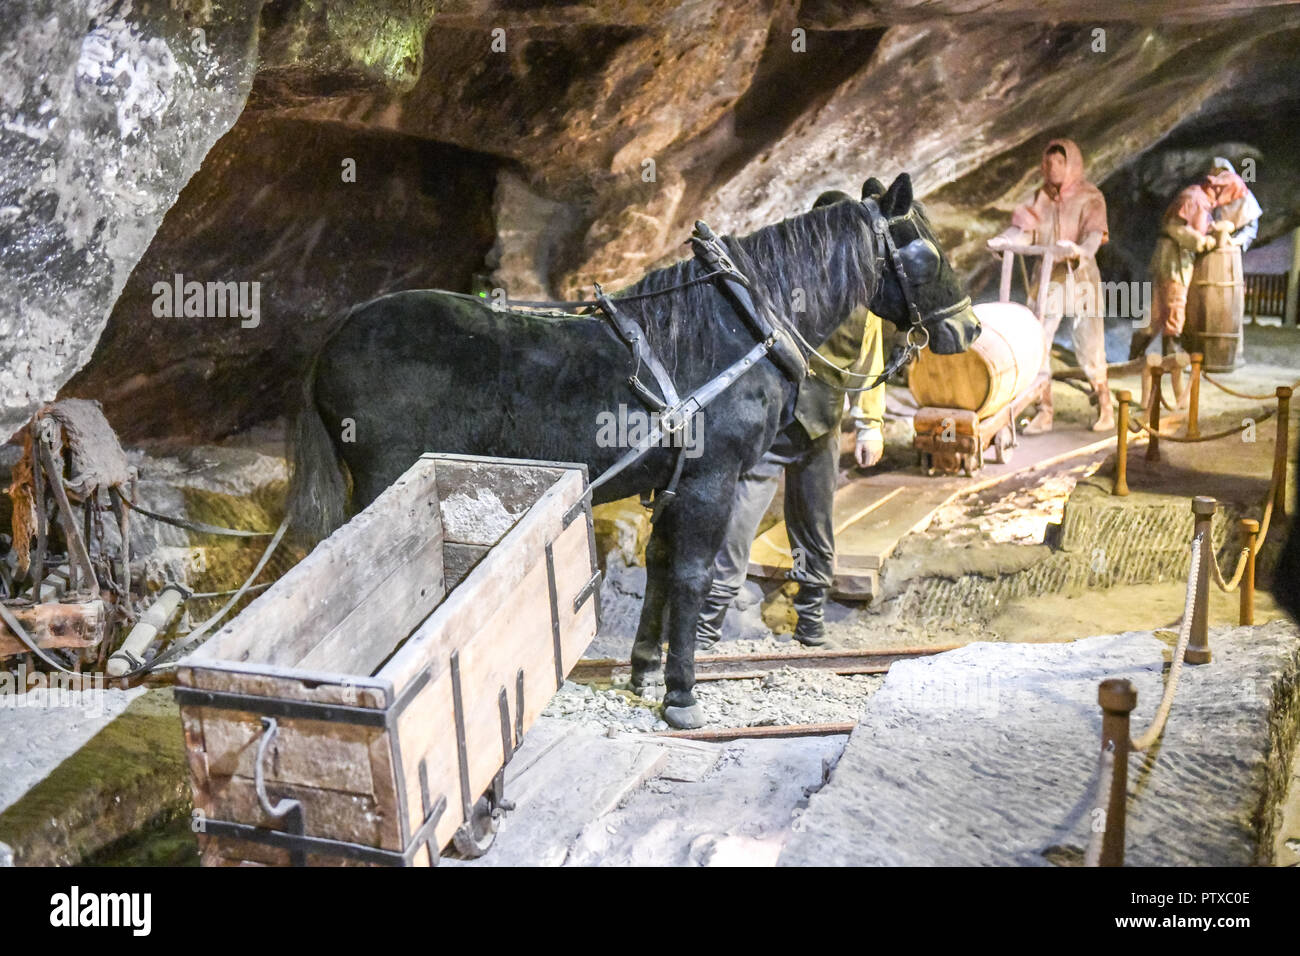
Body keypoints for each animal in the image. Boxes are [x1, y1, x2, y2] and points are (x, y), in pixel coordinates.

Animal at [287, 173, 981, 729]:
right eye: (924, 249)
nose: (969, 327)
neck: (739, 327)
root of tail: (332, 339)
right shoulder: (711, 482)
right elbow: (693, 576)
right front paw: (683, 695)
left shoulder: (672, 485)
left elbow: (662, 569)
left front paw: (646, 670)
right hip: (385, 486)